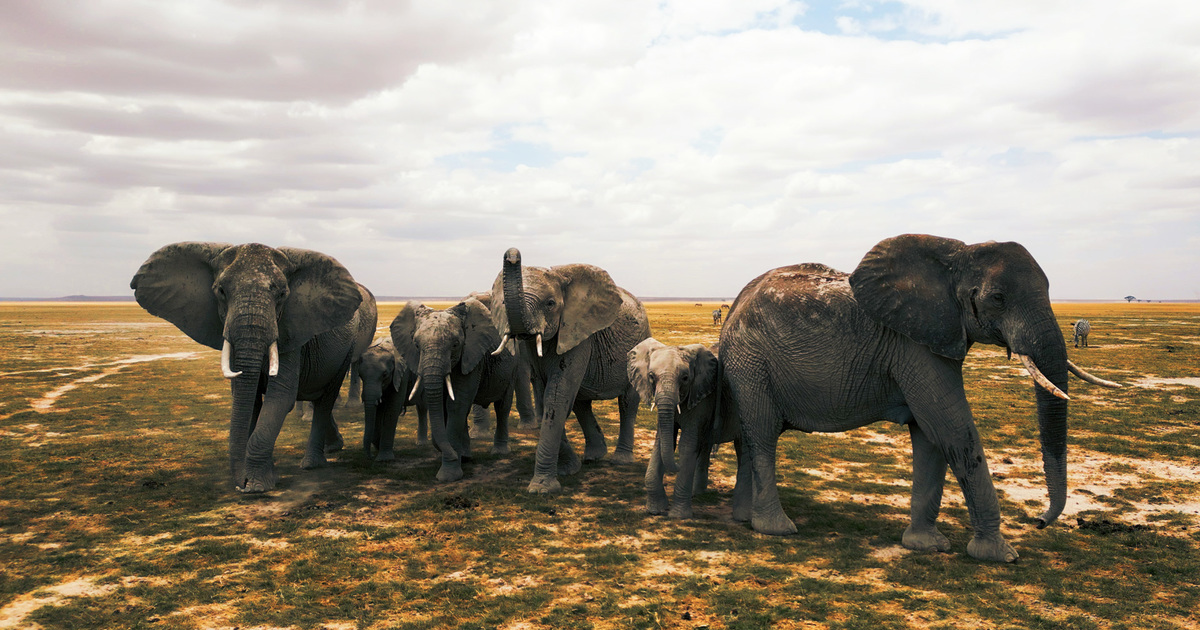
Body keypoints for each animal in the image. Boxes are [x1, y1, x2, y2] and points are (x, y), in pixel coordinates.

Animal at [131, 242, 378, 492]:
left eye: (282, 294)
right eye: (221, 291)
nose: (241, 483)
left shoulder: (290, 331)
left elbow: (280, 398)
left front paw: (257, 486)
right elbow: (249, 400)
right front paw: (259, 477)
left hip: (347, 347)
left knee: (326, 399)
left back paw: (312, 464)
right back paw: (332, 447)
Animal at [389, 297, 516, 482]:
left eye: (455, 345)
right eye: (417, 346)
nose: (454, 455)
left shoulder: (471, 356)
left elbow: (456, 405)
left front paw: (449, 475)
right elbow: (444, 406)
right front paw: (459, 457)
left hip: (514, 367)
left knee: (502, 407)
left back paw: (498, 452)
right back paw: (466, 455)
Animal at [490, 248, 652, 493]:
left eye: (550, 303)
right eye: (501, 303)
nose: (513, 255)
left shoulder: (578, 335)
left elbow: (557, 397)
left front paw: (542, 488)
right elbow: (548, 397)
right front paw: (569, 470)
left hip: (641, 341)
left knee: (627, 402)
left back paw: (620, 460)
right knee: (581, 404)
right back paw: (593, 457)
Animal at [628, 339, 747, 518]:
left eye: (685, 378)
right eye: (651, 376)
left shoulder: (702, 398)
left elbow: (686, 445)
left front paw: (678, 516)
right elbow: (663, 441)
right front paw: (655, 510)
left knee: (742, 449)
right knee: (706, 447)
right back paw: (697, 494)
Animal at [720, 234, 1121, 562]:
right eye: (998, 298)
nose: (1039, 522)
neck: (957, 257)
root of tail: (736, 304)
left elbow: (930, 436)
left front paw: (926, 546)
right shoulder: (914, 346)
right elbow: (951, 427)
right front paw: (999, 555)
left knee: (748, 438)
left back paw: (744, 517)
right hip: (751, 361)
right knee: (763, 434)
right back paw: (776, 529)